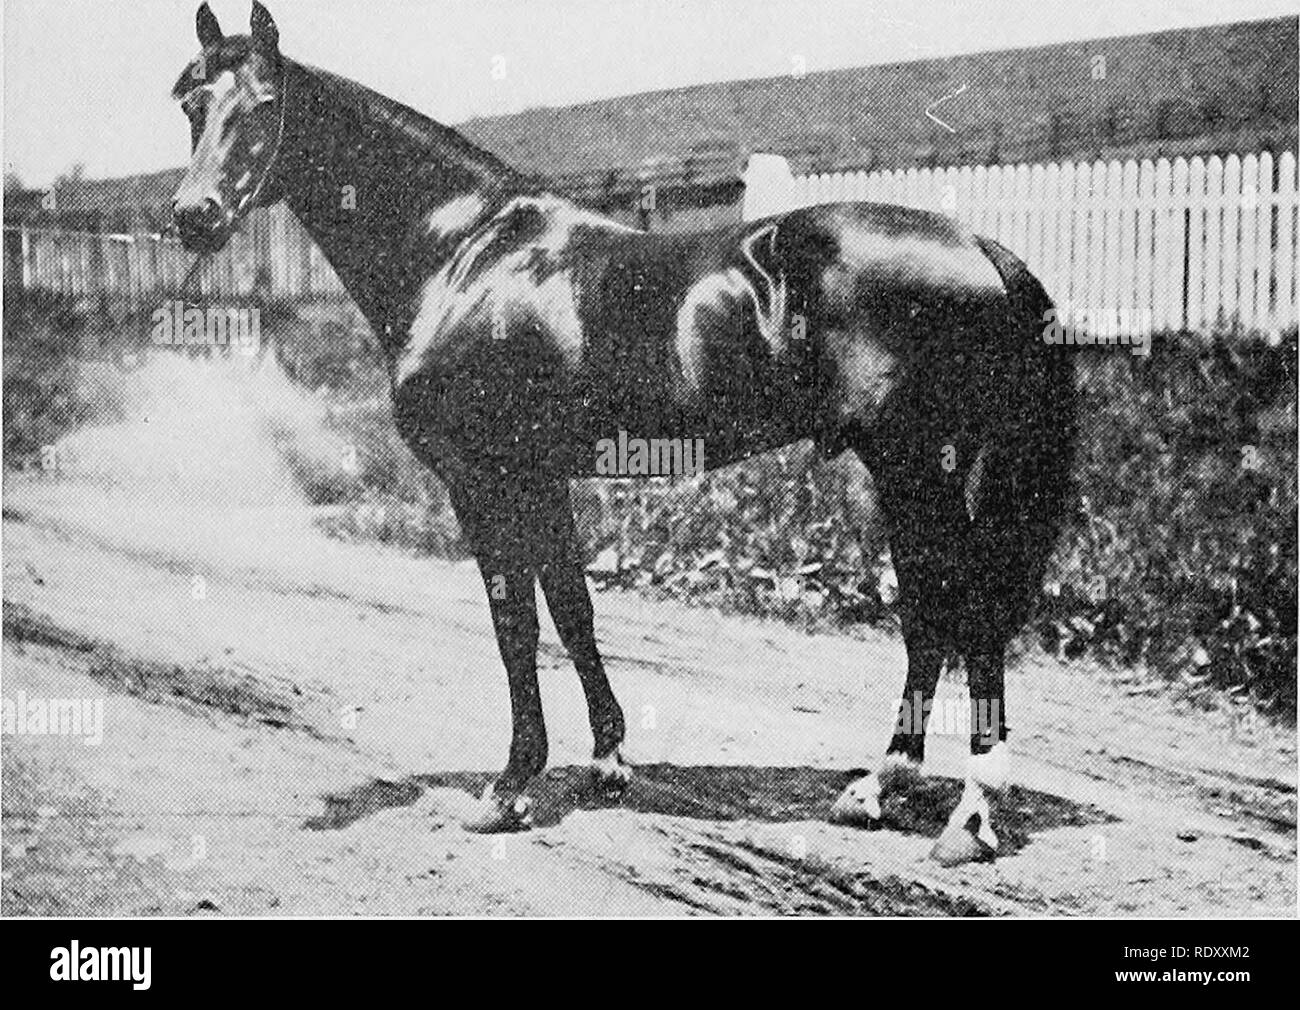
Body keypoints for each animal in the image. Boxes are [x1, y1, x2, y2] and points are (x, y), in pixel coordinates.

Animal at [171, 3, 1076, 864]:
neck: (465, 254)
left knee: (967, 614)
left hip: (924, 464)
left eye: (264, 105)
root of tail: (981, 246)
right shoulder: (541, 477)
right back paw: (876, 789)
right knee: (930, 615)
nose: (193, 216)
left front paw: (510, 787)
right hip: (907, 471)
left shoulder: (486, 479)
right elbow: (572, 607)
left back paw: (967, 818)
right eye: (191, 104)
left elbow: (515, 625)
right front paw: (608, 760)